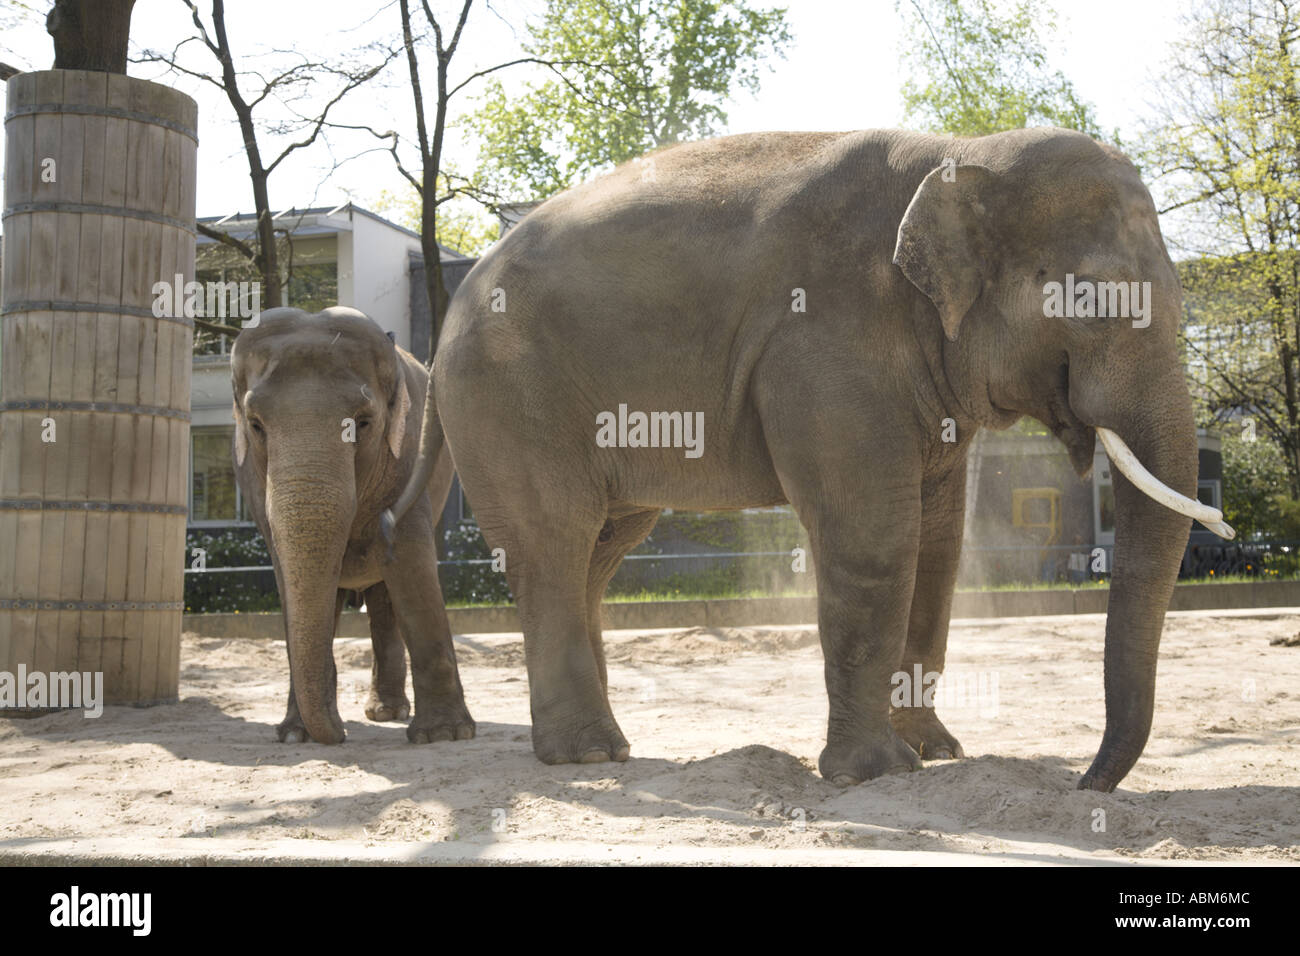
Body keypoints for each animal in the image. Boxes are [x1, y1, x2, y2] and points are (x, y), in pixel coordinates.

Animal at [231, 306, 474, 745]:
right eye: (256, 425)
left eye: (363, 422)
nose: (340, 733)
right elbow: (289, 579)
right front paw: (295, 736)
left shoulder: (407, 453)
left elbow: (410, 562)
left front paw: (446, 735)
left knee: (386, 597)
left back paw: (387, 713)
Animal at [384, 127, 1234, 792]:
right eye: (1086, 299)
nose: (1086, 781)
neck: (961, 151)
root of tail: (448, 316)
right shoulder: (826, 342)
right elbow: (875, 534)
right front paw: (877, 774)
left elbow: (939, 541)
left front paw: (938, 754)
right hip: (509, 397)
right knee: (556, 542)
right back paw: (588, 757)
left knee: (601, 547)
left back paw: (613, 746)